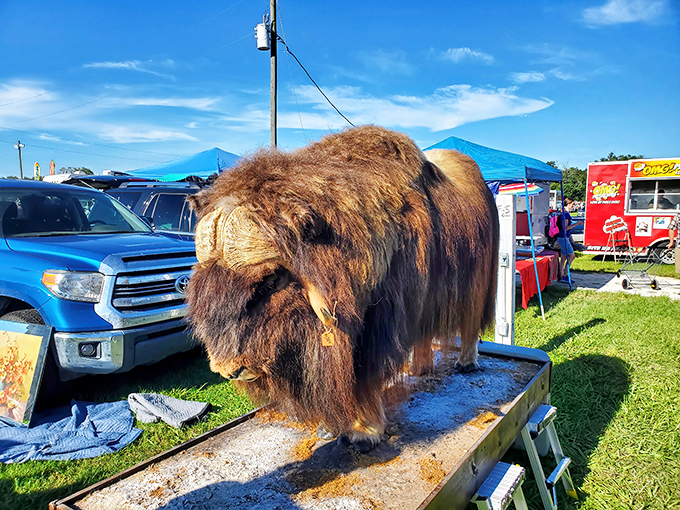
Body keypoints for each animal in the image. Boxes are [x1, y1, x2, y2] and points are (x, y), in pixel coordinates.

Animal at [187, 125, 499, 452]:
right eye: (205, 281)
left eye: (271, 281)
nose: (227, 368)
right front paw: (333, 428)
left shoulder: (375, 327)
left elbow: (363, 378)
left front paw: (365, 433)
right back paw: (420, 369)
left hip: (477, 282)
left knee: (470, 323)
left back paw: (466, 363)